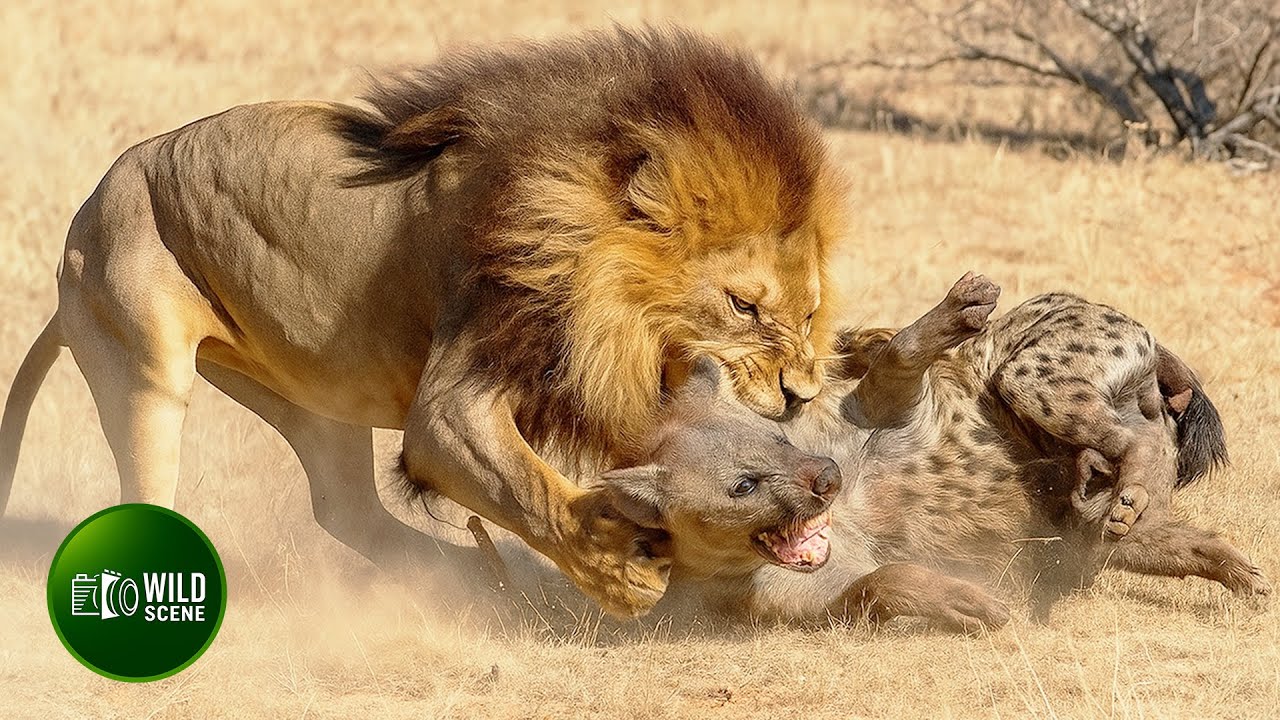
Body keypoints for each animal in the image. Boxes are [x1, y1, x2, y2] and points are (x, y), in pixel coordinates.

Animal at [0, 27, 847, 617]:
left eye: (808, 312)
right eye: (743, 305)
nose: (803, 395)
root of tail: (80, 225)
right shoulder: (450, 407)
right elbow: (527, 487)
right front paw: (621, 570)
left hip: (319, 397)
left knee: (346, 510)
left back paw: (482, 578)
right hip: (143, 366)